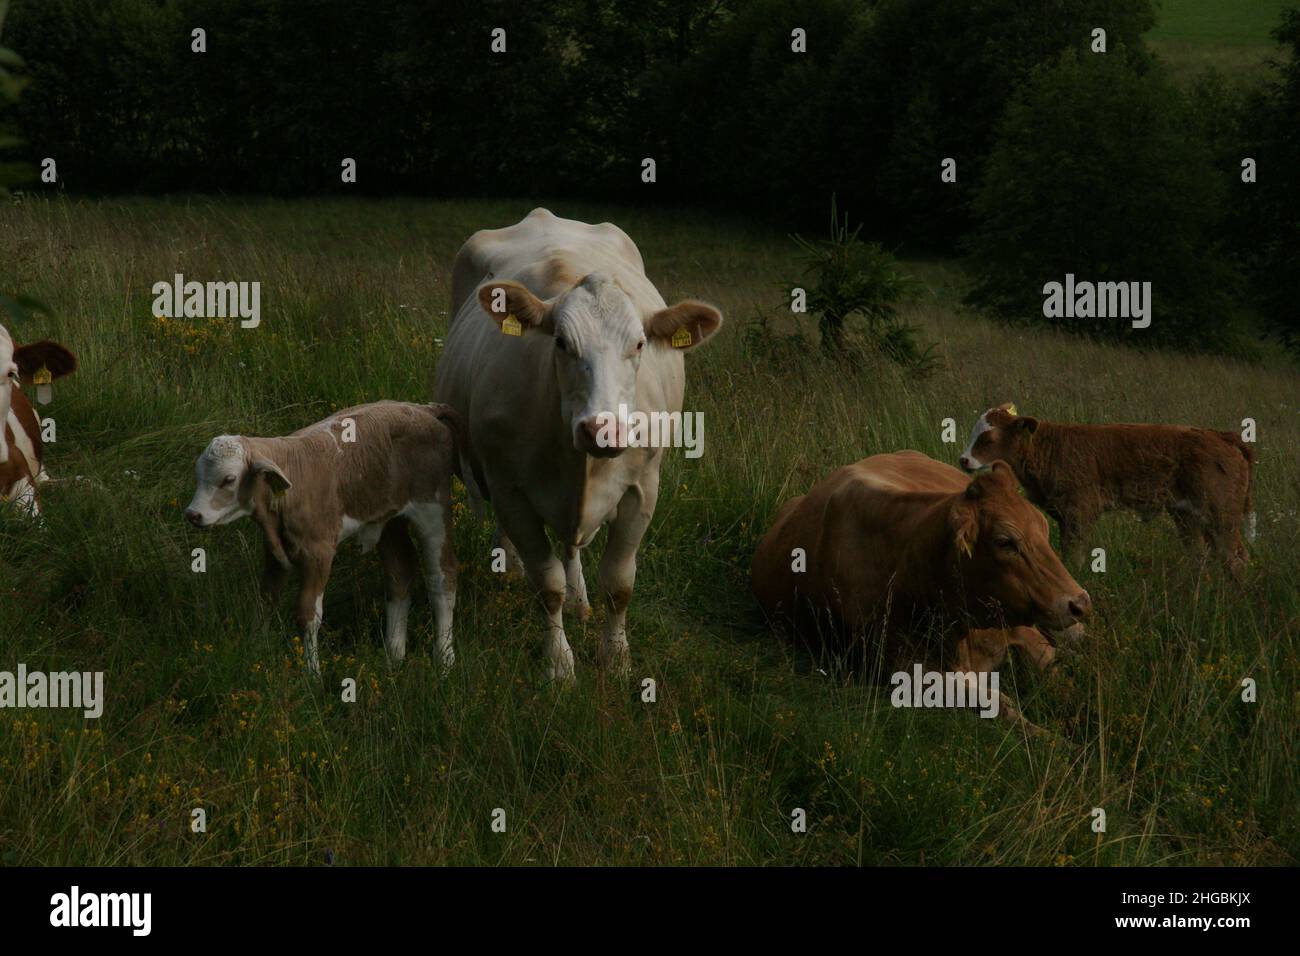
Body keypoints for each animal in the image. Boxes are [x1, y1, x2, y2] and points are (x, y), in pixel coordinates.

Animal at [184, 401, 461, 674]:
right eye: (198, 476)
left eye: (228, 479)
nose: (193, 514)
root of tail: (424, 408)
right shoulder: (274, 551)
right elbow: (266, 601)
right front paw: (254, 653)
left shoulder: (317, 552)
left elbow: (307, 614)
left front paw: (313, 673)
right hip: (389, 518)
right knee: (399, 575)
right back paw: (393, 657)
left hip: (433, 509)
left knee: (442, 578)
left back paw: (444, 659)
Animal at [434, 208, 723, 683]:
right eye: (561, 342)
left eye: (639, 344)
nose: (602, 430)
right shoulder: (511, 490)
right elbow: (545, 583)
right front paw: (559, 664)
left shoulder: (643, 488)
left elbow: (619, 582)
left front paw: (617, 658)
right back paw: (509, 567)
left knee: (572, 547)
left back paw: (580, 598)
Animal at [750, 451, 1091, 734]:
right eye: (1005, 541)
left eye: (1044, 529)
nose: (1080, 603)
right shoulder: (909, 670)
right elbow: (999, 702)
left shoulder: (1025, 633)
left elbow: (1062, 682)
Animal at [959, 403, 1256, 576]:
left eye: (988, 438)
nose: (963, 460)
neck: (1048, 449)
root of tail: (1221, 435)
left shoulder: (1080, 511)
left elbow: (1074, 554)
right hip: (1188, 516)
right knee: (1200, 555)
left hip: (1222, 515)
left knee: (1235, 558)